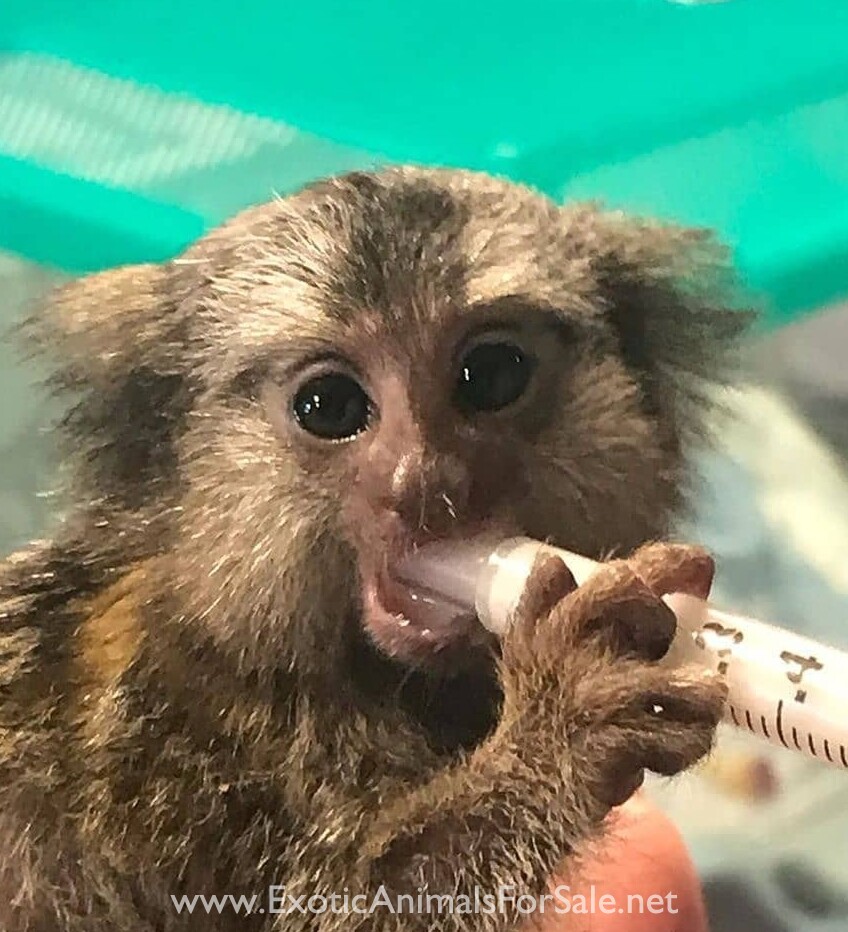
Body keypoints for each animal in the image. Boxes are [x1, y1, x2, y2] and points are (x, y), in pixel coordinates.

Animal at [0, 166, 749, 931]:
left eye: (492, 373)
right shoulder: (164, 758)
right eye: (328, 405)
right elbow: (352, 903)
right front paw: (568, 718)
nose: (421, 483)